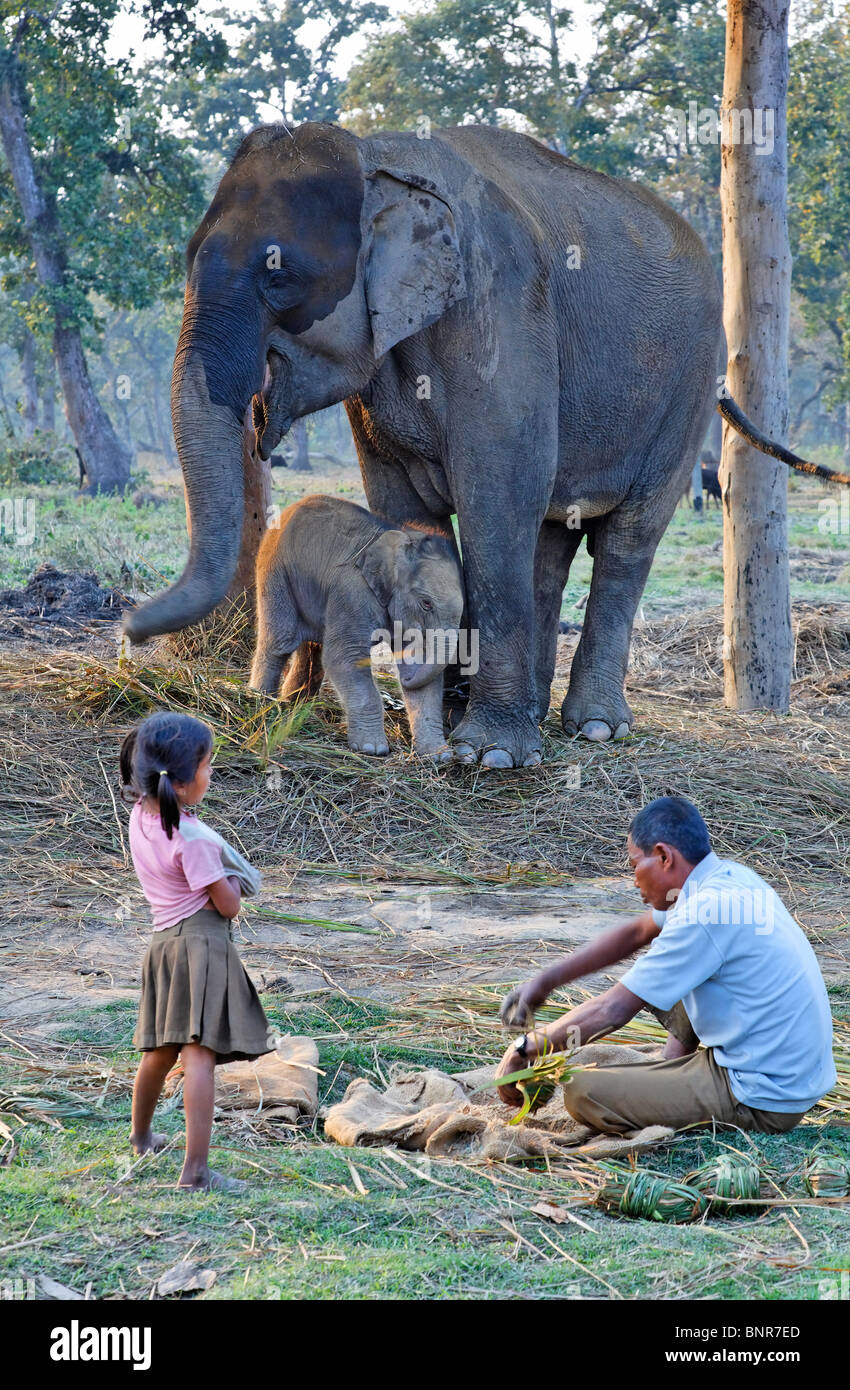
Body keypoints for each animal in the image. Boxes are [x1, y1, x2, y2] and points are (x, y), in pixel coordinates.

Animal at [249, 494, 464, 757]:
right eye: (426, 603)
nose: (402, 680)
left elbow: (416, 662)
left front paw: (438, 754)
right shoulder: (352, 592)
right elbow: (345, 656)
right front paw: (372, 749)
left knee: (311, 646)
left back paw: (295, 703)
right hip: (274, 569)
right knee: (280, 641)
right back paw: (261, 701)